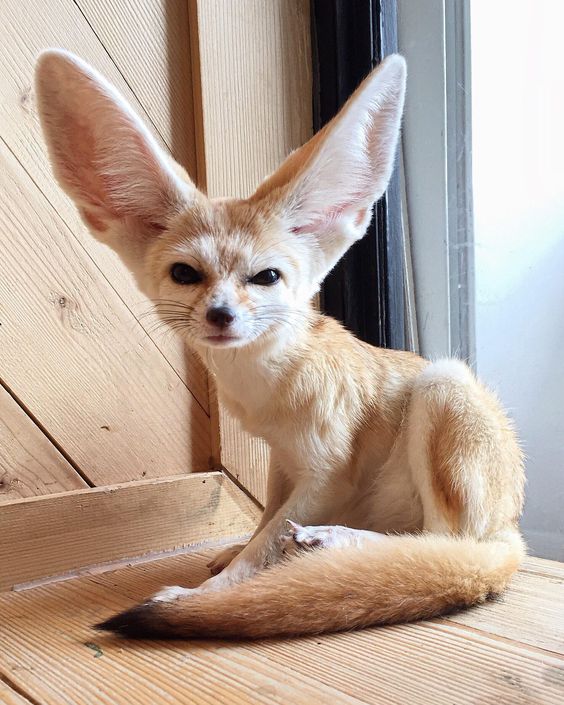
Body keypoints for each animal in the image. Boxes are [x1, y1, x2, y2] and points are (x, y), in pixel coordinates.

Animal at [34, 49, 525, 640]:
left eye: (265, 277)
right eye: (185, 274)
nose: (220, 315)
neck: (265, 386)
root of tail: (511, 531)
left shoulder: (327, 474)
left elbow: (264, 548)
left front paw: (214, 592)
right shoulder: (281, 459)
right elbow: (265, 521)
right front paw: (239, 554)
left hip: (444, 385)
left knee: (445, 541)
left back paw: (336, 541)